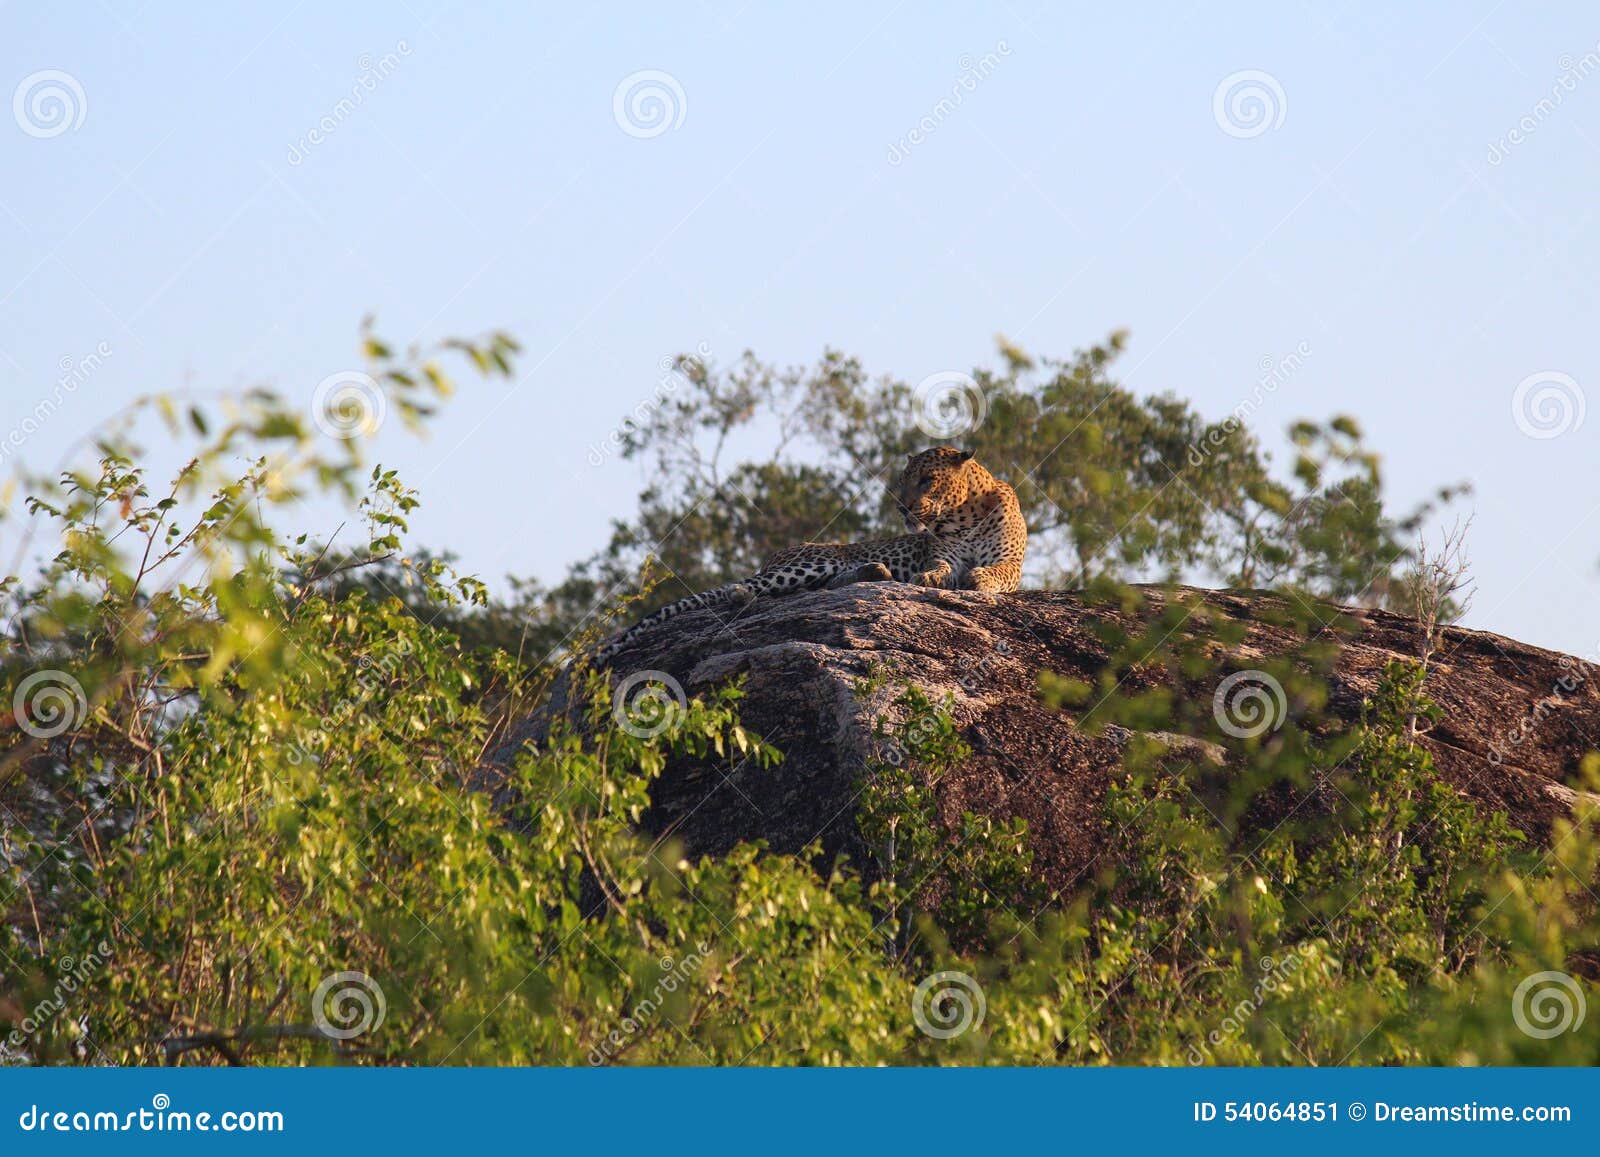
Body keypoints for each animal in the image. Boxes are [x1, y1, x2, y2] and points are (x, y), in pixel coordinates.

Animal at [594, 447, 1026, 663]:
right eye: (904, 479)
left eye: (927, 479)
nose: (901, 507)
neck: (964, 514)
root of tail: (773, 555)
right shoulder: (944, 555)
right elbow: (940, 566)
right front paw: (933, 578)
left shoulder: (1014, 564)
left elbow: (997, 572)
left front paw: (978, 579)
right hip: (817, 560)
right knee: (749, 585)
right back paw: (744, 594)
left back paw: (877, 571)